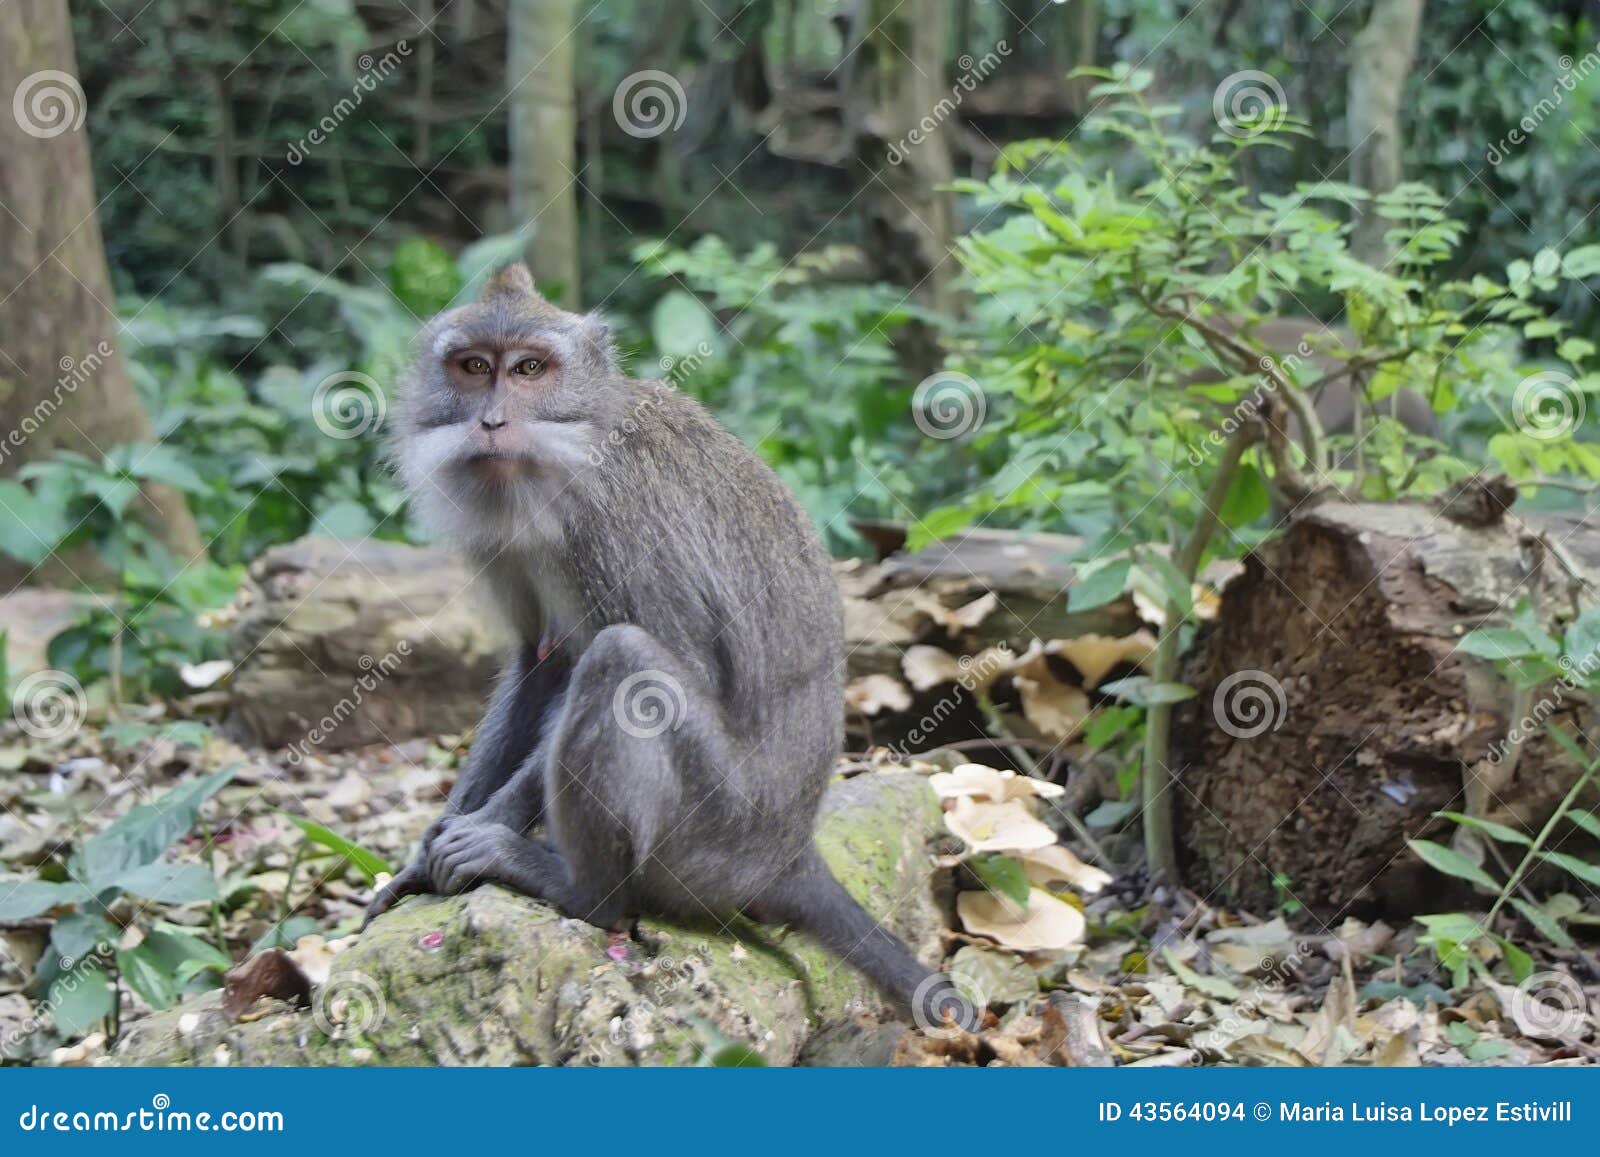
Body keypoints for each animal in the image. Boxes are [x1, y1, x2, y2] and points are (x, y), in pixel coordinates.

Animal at [363, 262, 977, 1033]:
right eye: (474, 367)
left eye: (530, 368)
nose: (492, 422)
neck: (569, 448)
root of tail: (788, 855)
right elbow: (541, 660)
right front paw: (425, 849)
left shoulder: (613, 519)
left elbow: (665, 657)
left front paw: (482, 828)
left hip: (715, 836)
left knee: (625, 662)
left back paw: (581, 890)